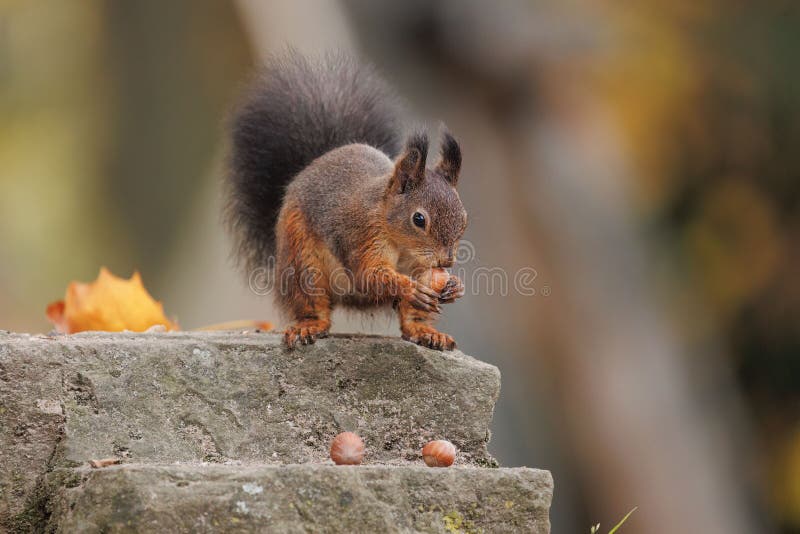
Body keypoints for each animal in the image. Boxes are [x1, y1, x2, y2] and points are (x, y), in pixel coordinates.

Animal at [225, 51, 467, 350]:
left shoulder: (422, 264)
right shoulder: (361, 236)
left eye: (464, 219)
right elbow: (368, 274)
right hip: (302, 263)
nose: (447, 261)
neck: (400, 241)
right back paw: (309, 326)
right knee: (312, 301)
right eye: (419, 219)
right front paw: (410, 287)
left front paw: (455, 286)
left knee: (411, 317)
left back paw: (426, 332)